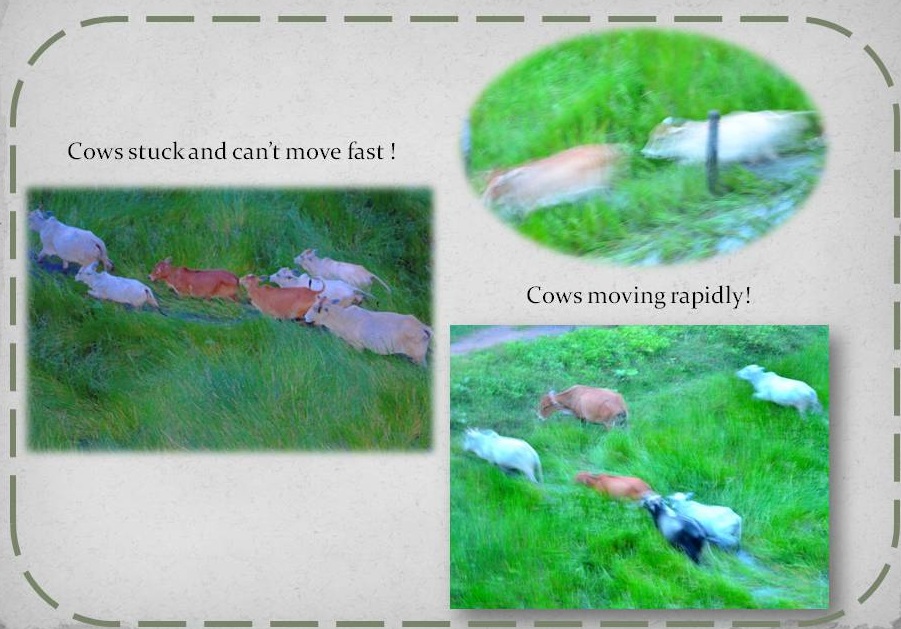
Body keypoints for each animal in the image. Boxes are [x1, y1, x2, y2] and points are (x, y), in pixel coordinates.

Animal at [303, 296, 431, 366]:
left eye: (315, 308)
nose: (305, 317)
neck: (342, 317)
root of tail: (423, 327)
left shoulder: (358, 346)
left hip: (419, 358)